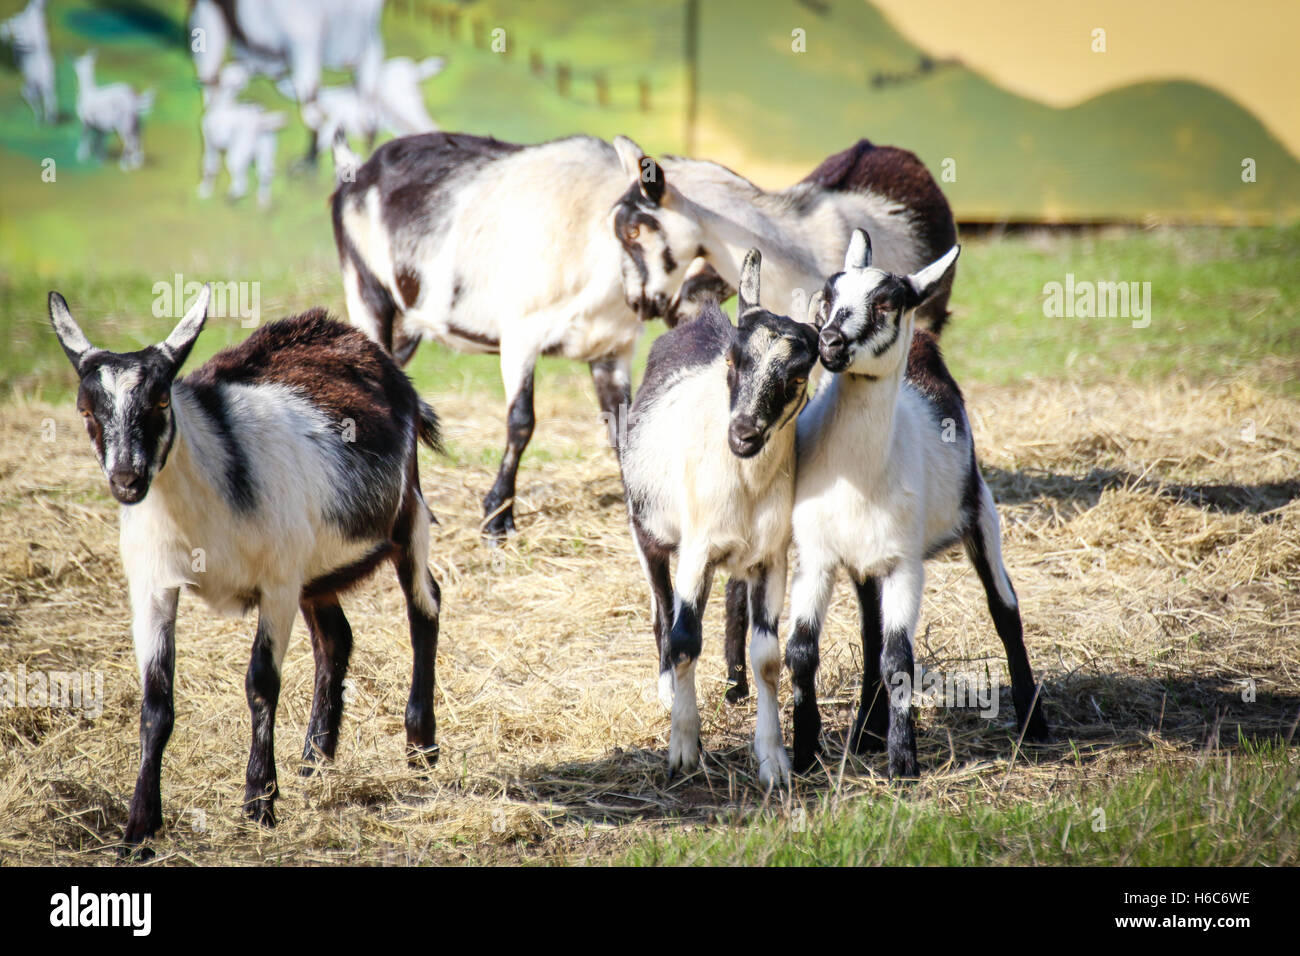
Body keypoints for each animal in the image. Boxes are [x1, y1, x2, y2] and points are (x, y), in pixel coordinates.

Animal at [48, 287, 443, 850]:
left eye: (161, 400)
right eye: (86, 410)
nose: (127, 479)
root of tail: (357, 342)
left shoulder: (277, 584)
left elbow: (261, 683)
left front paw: (258, 803)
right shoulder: (153, 585)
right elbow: (155, 704)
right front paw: (139, 830)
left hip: (407, 516)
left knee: (424, 606)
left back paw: (421, 746)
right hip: (314, 564)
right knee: (336, 638)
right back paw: (315, 760)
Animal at [200, 64, 286, 207]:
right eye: (243, 72)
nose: (253, 68)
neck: (224, 103)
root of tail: (259, 121)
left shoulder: (210, 145)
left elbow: (209, 168)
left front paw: (204, 191)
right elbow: (212, 169)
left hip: (235, 157)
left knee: (242, 186)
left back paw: (232, 197)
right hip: (265, 155)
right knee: (265, 177)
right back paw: (263, 202)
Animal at [621, 250, 819, 786]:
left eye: (797, 377)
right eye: (733, 361)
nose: (744, 434)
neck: (745, 482)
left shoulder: (772, 556)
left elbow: (768, 657)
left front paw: (773, 759)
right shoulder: (697, 548)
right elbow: (685, 638)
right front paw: (684, 747)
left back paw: (735, 686)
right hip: (646, 527)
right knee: (661, 610)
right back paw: (667, 688)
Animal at [784, 230, 1050, 780]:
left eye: (886, 303)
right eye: (827, 297)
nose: (829, 342)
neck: (857, 474)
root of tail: (927, 345)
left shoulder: (904, 562)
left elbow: (899, 658)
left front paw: (903, 763)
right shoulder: (816, 557)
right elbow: (801, 652)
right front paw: (803, 757)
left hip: (980, 511)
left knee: (1004, 609)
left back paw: (1033, 723)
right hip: (867, 561)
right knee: (869, 633)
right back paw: (866, 732)